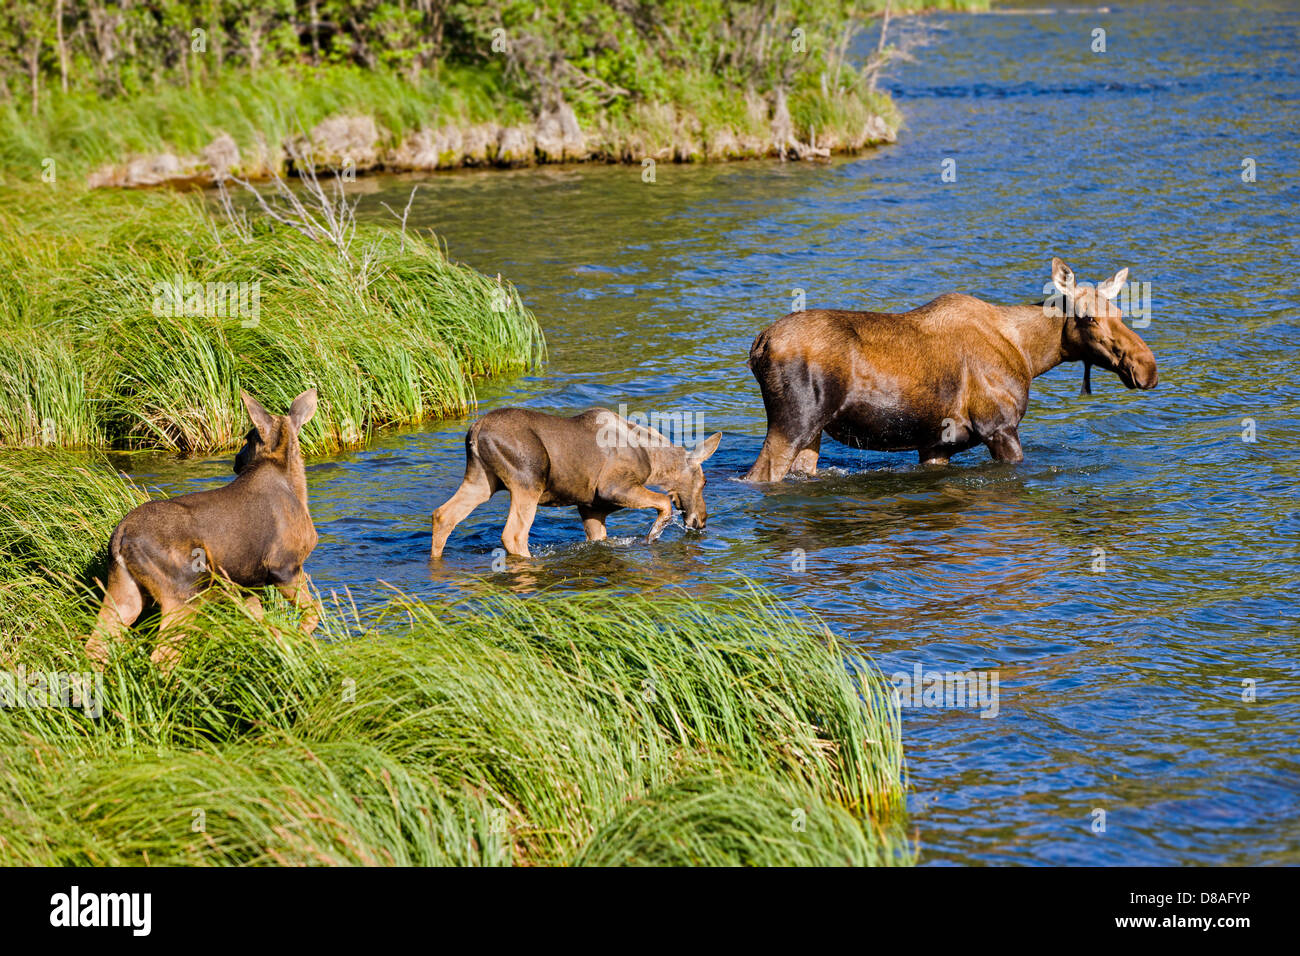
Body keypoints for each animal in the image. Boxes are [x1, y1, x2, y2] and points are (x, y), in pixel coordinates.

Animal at [84, 389, 322, 671]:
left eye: (248, 439)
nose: (236, 460)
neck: (294, 487)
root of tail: (119, 539)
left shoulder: (248, 583)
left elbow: (263, 628)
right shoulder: (284, 566)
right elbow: (313, 613)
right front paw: (298, 645)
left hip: (124, 591)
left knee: (96, 645)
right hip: (183, 591)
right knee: (161, 656)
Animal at [430, 407, 723, 559]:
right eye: (705, 481)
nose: (701, 520)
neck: (653, 459)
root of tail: (474, 431)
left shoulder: (591, 507)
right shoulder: (613, 487)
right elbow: (664, 501)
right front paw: (651, 536)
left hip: (481, 480)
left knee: (444, 515)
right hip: (528, 481)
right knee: (513, 534)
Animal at [743, 258, 1158, 481]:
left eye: (1120, 312)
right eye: (1088, 318)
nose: (1147, 368)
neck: (1029, 356)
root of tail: (758, 345)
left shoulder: (935, 444)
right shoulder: (1000, 427)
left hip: (812, 433)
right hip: (793, 423)